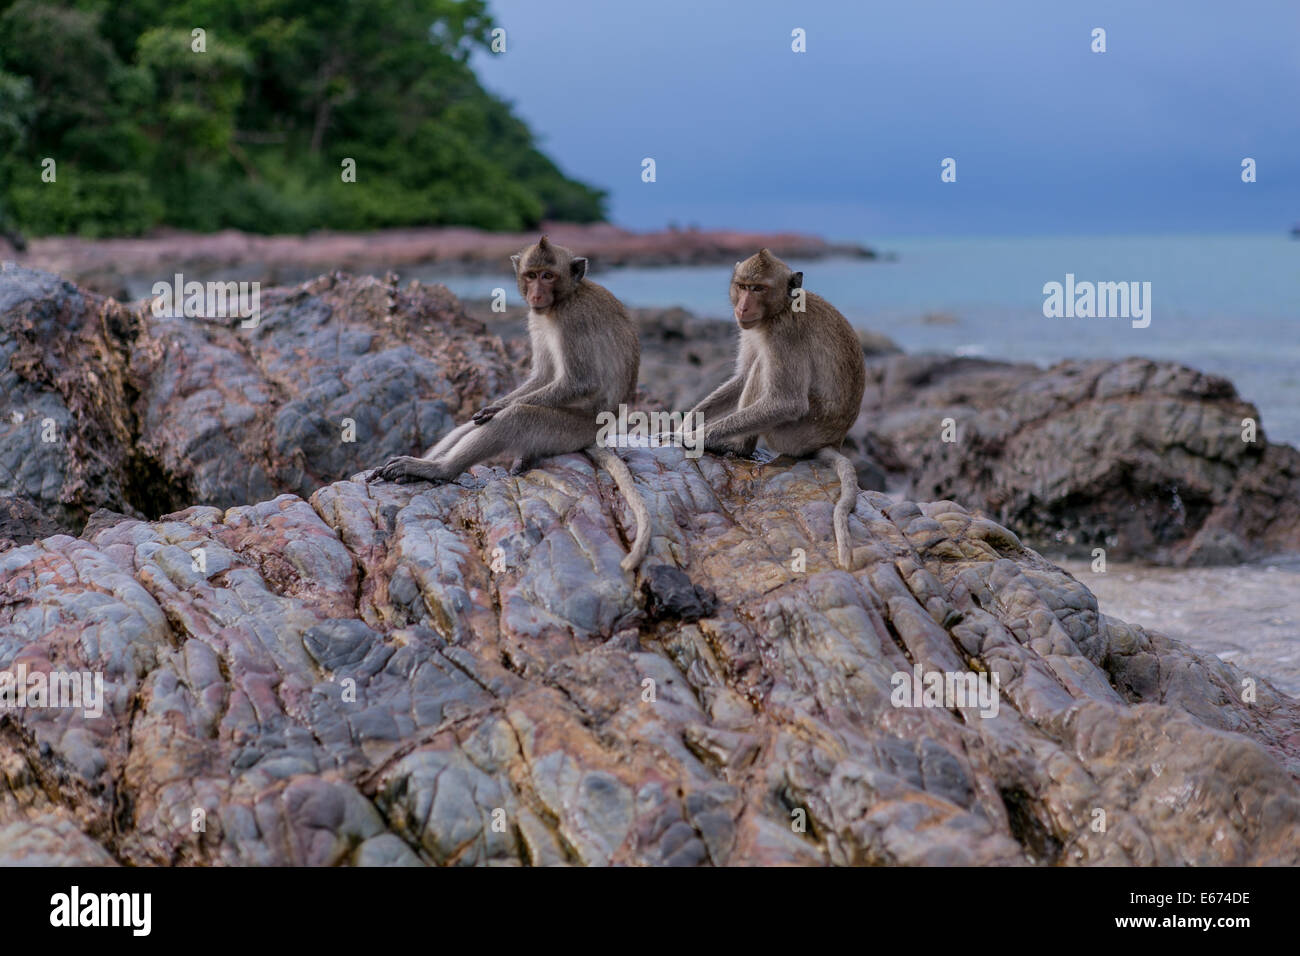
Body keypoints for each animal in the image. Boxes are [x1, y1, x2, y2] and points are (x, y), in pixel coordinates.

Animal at [370, 236, 651, 572]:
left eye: (548, 276)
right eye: (531, 275)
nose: (536, 293)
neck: (561, 301)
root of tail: (598, 433)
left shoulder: (573, 320)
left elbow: (579, 382)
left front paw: (496, 409)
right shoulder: (537, 318)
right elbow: (543, 375)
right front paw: (493, 405)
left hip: (569, 431)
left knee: (517, 418)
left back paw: (441, 468)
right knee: (473, 426)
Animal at [688, 248, 866, 569]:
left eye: (759, 289)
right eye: (743, 286)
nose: (743, 307)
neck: (779, 310)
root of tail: (834, 440)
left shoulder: (785, 335)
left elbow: (787, 401)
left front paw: (693, 436)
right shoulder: (751, 330)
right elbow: (741, 377)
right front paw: (682, 423)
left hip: (797, 433)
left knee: (764, 370)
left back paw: (738, 447)